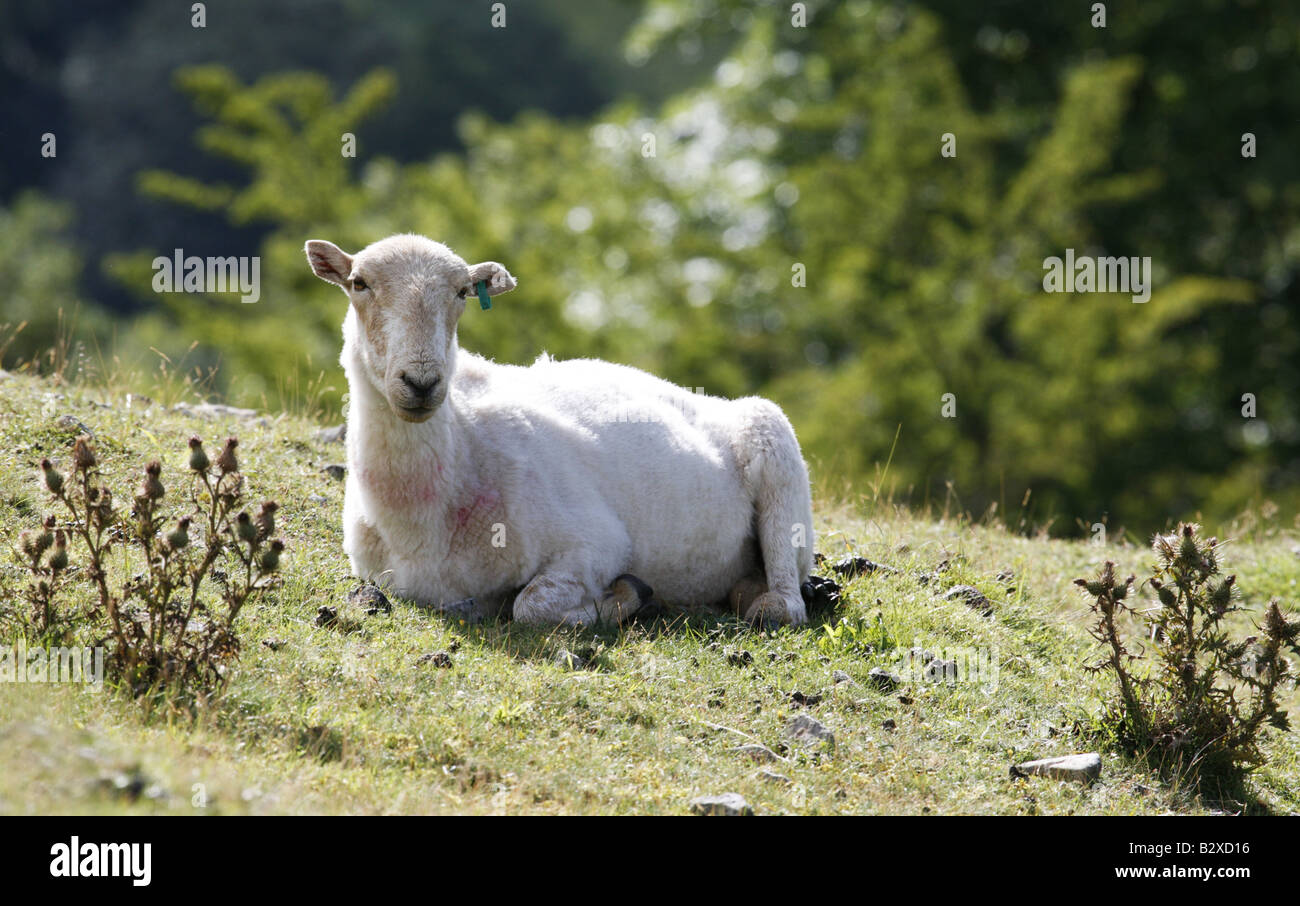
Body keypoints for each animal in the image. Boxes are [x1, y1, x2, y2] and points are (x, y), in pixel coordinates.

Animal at [305, 234, 815, 626]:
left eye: (463, 292)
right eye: (358, 283)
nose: (421, 382)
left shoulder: (596, 543)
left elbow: (530, 606)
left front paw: (621, 599)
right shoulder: (378, 575)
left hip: (776, 450)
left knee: (785, 605)